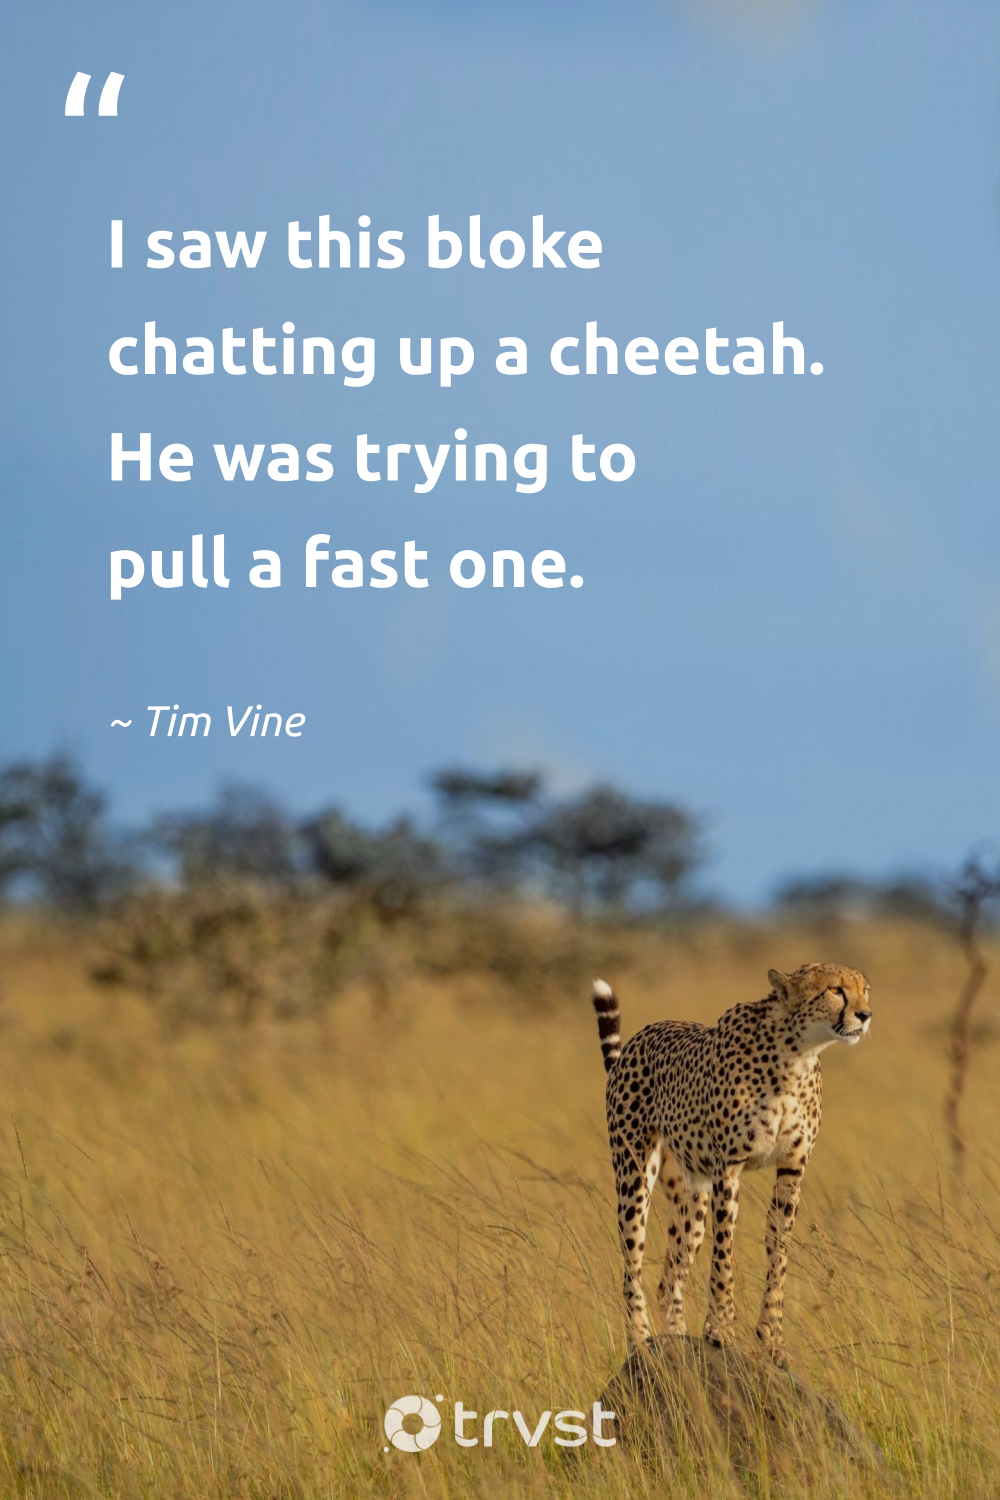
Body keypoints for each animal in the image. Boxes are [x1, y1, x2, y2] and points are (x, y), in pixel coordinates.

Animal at [591, 962, 871, 1363]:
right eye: (836, 990)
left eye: (866, 990)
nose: (865, 1015)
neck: (796, 1055)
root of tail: (639, 1037)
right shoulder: (728, 1168)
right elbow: (724, 1252)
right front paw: (719, 1328)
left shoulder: (793, 1168)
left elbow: (778, 1253)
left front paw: (771, 1339)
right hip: (634, 1174)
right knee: (632, 1264)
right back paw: (641, 1341)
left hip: (692, 1199)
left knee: (669, 1279)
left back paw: (678, 1341)